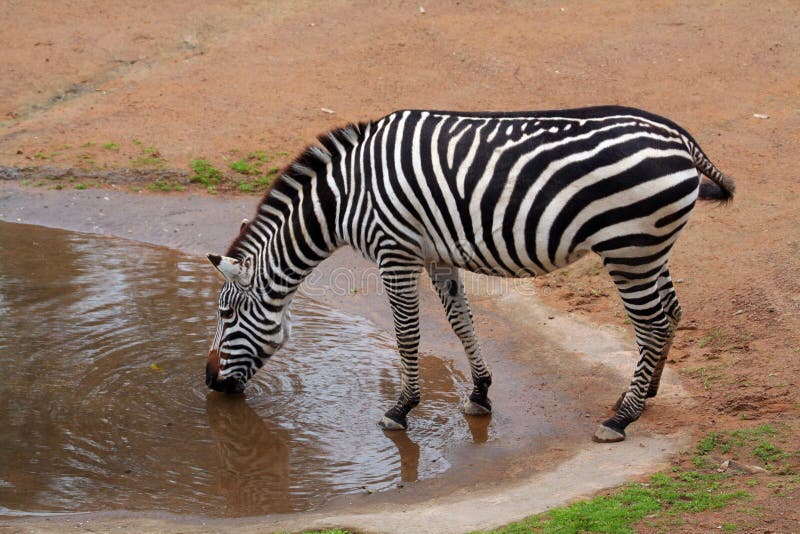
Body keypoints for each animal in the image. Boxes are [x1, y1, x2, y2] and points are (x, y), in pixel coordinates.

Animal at [205, 105, 734, 443]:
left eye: (226, 315)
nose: (209, 383)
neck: (345, 197)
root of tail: (680, 137)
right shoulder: (437, 255)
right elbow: (461, 321)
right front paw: (480, 392)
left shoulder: (394, 251)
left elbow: (407, 334)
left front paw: (401, 409)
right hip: (649, 249)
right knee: (671, 312)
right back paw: (643, 394)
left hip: (628, 248)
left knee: (653, 323)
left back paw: (622, 419)